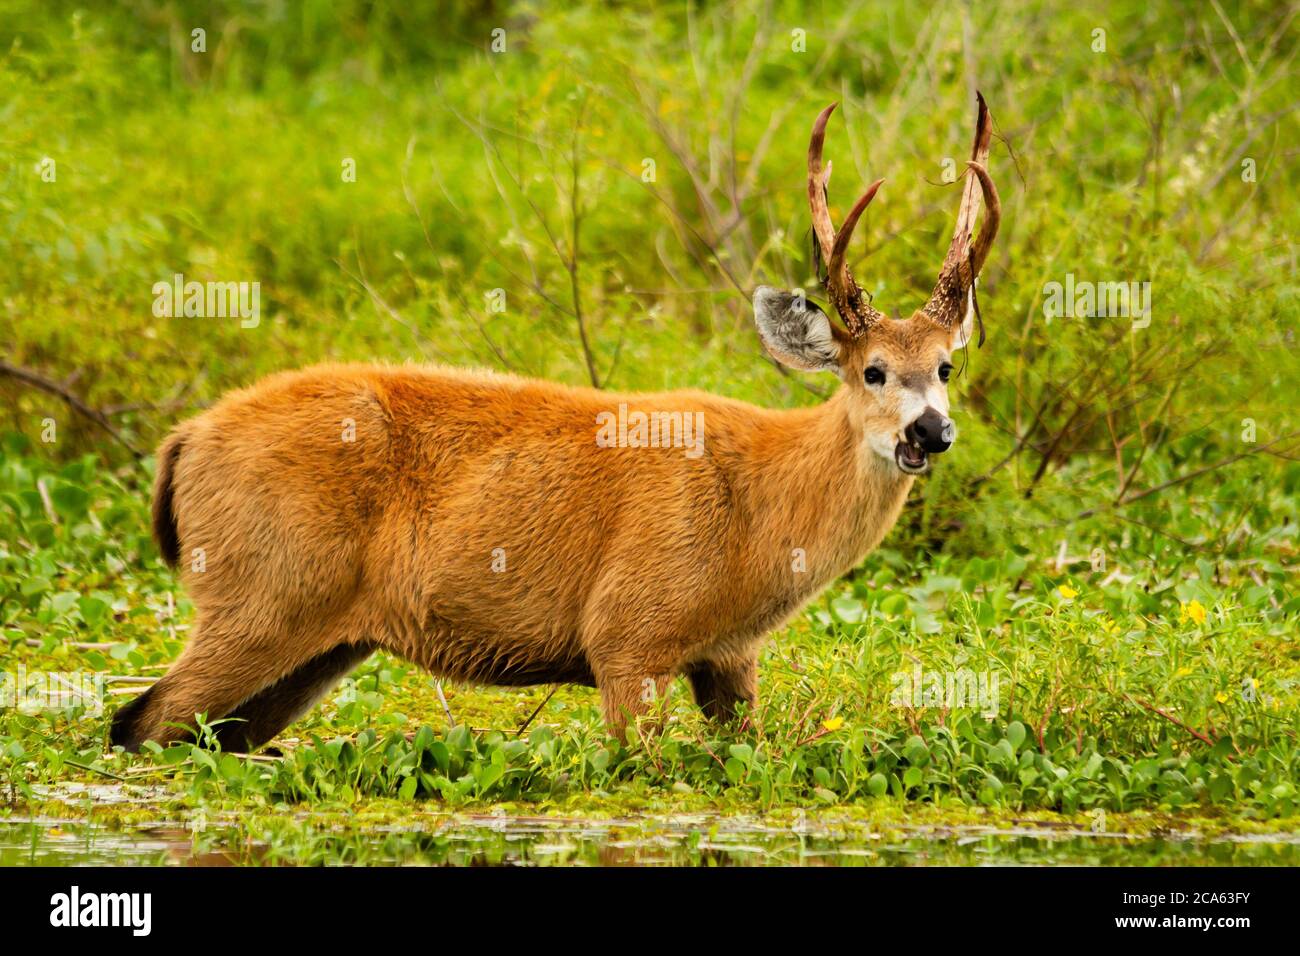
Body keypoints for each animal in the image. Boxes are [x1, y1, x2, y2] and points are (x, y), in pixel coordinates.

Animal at [110, 95, 1001, 753]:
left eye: (946, 368)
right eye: (871, 369)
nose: (929, 433)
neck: (761, 513)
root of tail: (183, 441)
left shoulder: (730, 659)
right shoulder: (629, 632)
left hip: (315, 641)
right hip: (261, 593)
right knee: (140, 722)